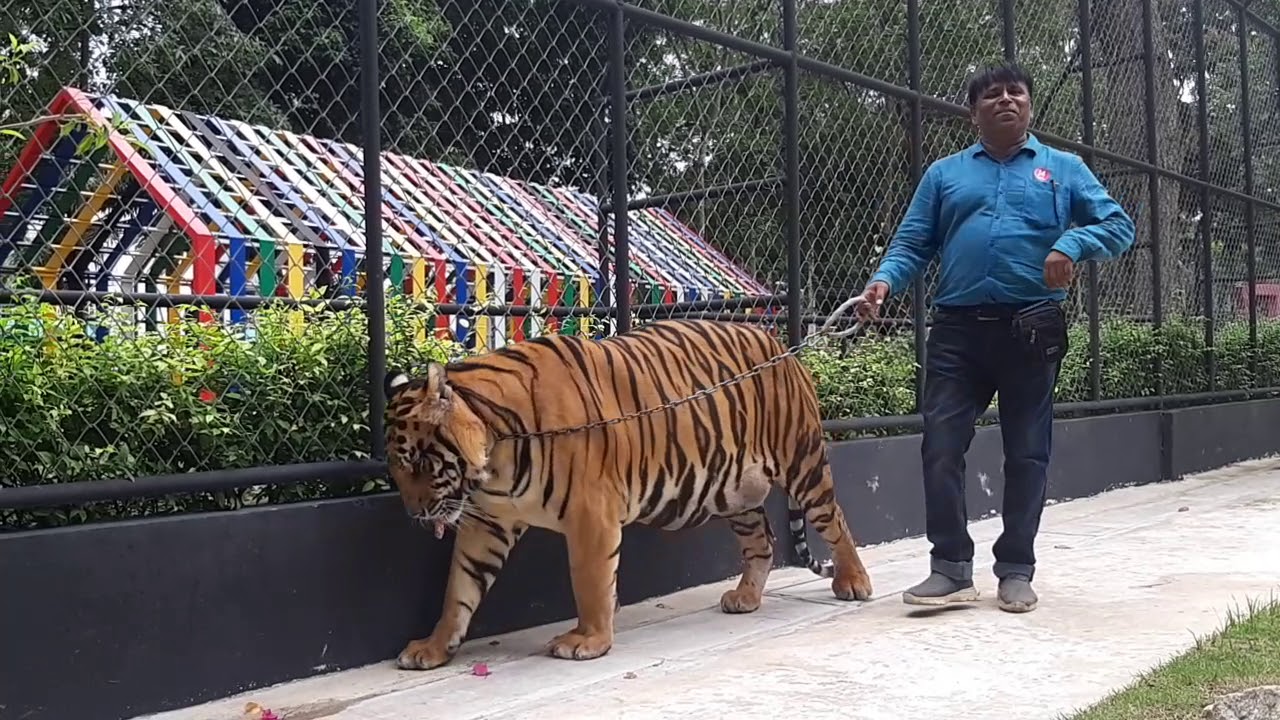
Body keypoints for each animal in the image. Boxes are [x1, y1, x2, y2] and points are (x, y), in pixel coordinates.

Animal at [382, 318, 874, 670]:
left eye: (416, 462)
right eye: (396, 468)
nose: (414, 514)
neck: (495, 454)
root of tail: (779, 343)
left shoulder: (590, 513)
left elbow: (589, 579)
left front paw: (588, 640)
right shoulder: (487, 523)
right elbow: (459, 589)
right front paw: (433, 647)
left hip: (801, 460)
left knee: (834, 518)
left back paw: (854, 582)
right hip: (735, 489)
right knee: (762, 543)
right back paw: (746, 599)